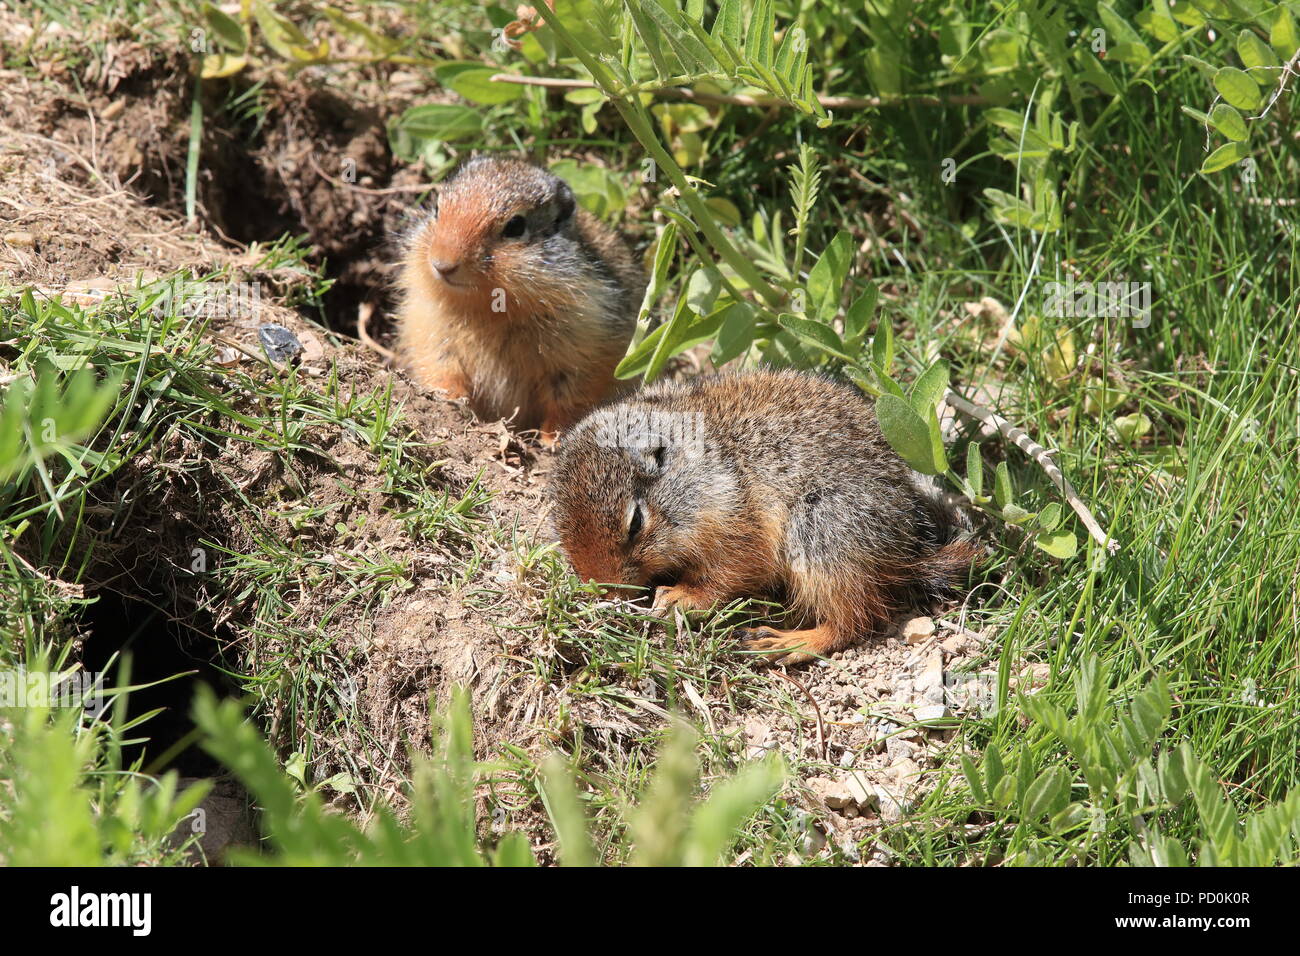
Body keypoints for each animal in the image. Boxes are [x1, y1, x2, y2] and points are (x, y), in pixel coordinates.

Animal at [397, 156, 645, 443]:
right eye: (437, 208)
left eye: (515, 226)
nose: (442, 264)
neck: (489, 309)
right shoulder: (431, 330)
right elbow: (440, 369)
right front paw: (451, 401)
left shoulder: (586, 352)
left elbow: (570, 401)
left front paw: (551, 438)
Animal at [548, 368, 980, 664]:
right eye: (563, 539)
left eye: (635, 523)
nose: (608, 593)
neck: (714, 463)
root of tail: (905, 552)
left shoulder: (738, 526)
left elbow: (726, 576)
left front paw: (679, 597)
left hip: (822, 534)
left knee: (856, 617)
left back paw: (784, 643)